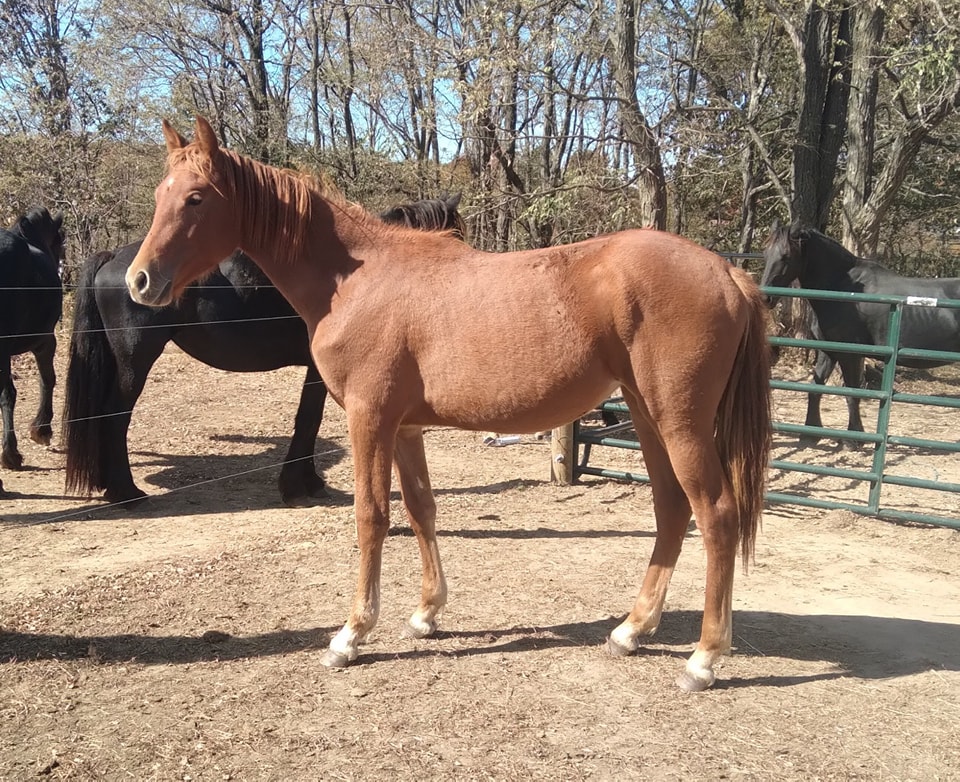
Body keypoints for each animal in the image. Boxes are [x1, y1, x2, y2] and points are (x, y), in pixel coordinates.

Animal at [62, 193, 464, 506]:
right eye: (456, 238)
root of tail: (117, 258)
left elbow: (309, 418)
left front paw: (306, 481)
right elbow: (308, 419)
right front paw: (297, 486)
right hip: (136, 361)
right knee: (115, 416)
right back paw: (126, 492)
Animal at [125, 117, 771, 691]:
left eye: (196, 198)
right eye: (161, 194)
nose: (139, 281)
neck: (355, 281)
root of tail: (728, 273)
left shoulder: (369, 418)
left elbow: (371, 516)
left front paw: (351, 635)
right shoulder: (405, 428)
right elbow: (420, 510)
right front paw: (425, 614)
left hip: (679, 422)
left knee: (716, 514)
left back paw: (704, 659)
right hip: (645, 414)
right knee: (671, 508)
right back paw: (631, 630)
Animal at [761, 220, 960, 443]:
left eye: (786, 255)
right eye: (765, 253)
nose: (766, 298)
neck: (844, 290)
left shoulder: (852, 354)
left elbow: (852, 393)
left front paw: (853, 438)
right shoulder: (829, 351)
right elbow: (815, 388)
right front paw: (810, 433)